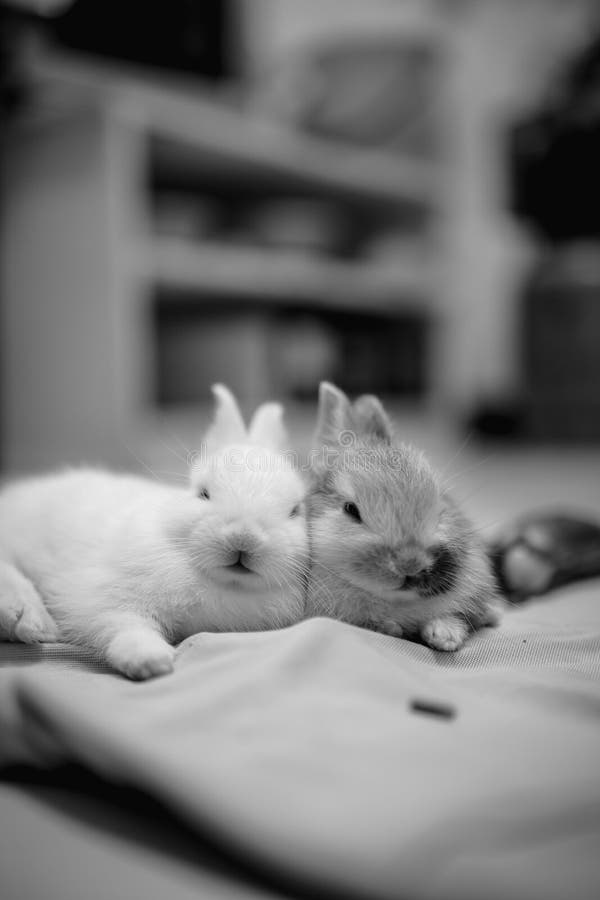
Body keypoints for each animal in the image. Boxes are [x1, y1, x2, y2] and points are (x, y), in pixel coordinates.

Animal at [0, 385, 308, 679]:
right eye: (203, 494)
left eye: (295, 510)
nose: (244, 537)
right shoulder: (102, 595)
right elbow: (121, 624)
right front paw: (150, 661)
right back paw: (30, 620)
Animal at [305, 383, 502, 651]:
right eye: (350, 510)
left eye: (441, 506)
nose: (411, 564)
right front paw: (390, 628)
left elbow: (456, 618)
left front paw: (443, 637)